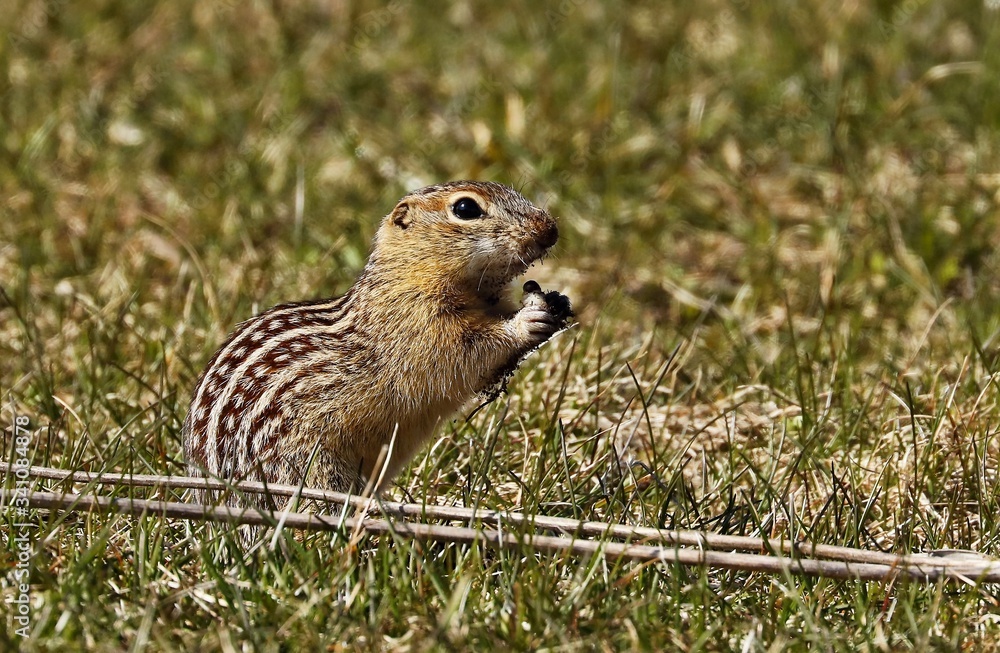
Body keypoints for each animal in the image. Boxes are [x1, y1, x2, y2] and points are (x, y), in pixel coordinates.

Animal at [182, 180, 573, 508]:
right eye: (465, 208)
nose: (550, 229)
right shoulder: (421, 331)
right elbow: (469, 353)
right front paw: (527, 322)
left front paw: (554, 302)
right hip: (309, 469)